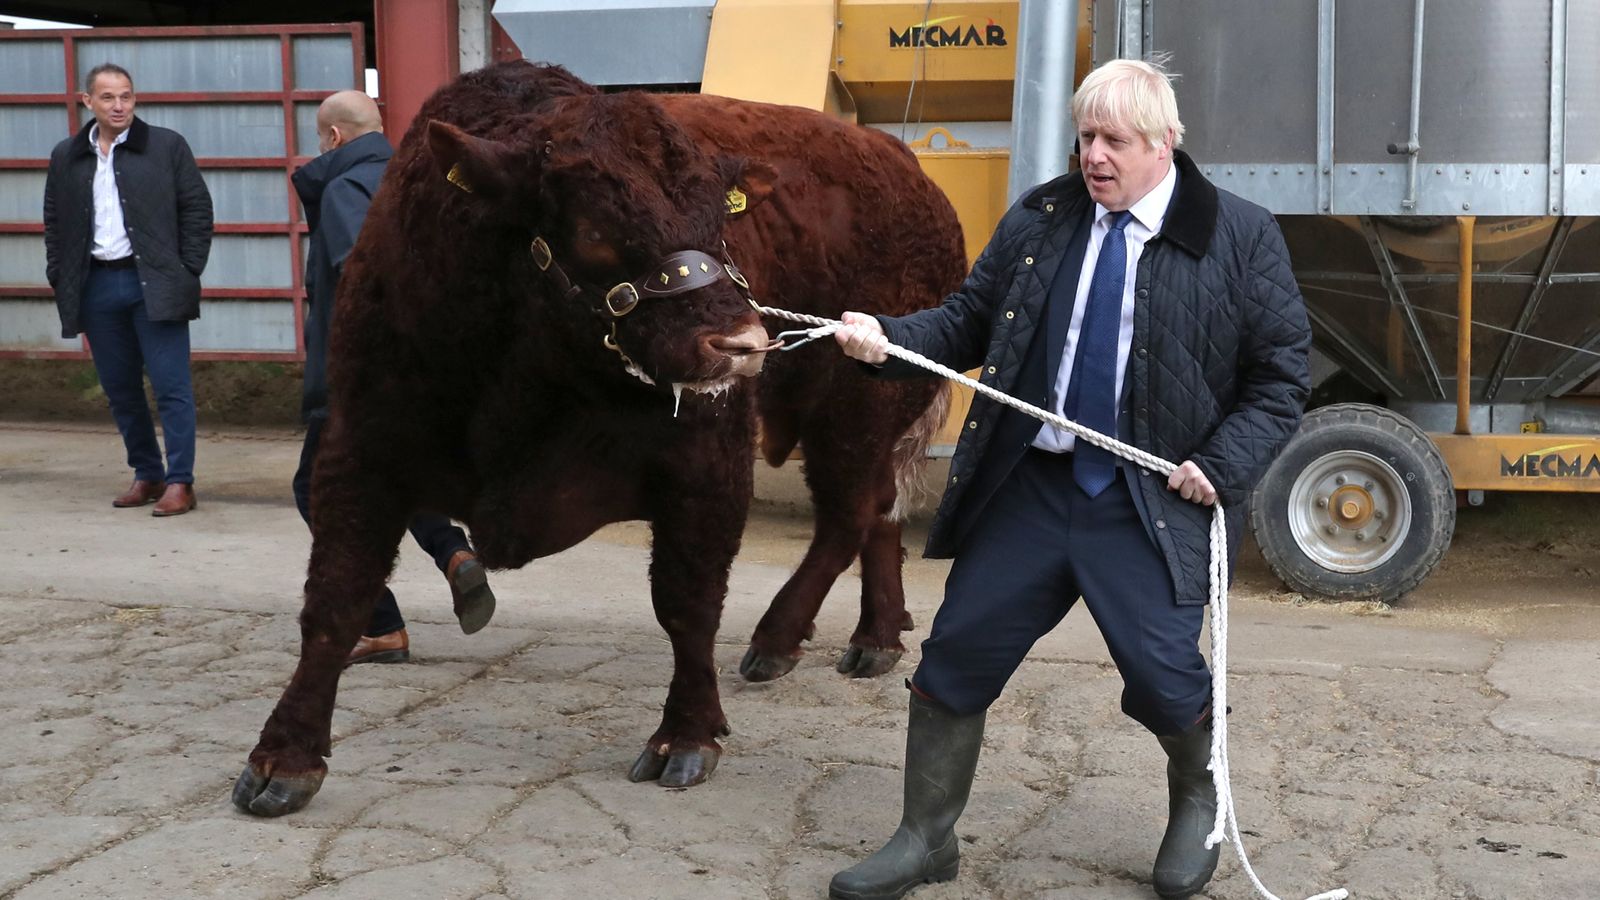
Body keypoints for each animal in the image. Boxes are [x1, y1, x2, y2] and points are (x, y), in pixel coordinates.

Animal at [231, 60, 967, 817]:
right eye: (593, 229)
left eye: (722, 222)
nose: (741, 344)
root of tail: (908, 169)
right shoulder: (361, 452)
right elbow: (334, 599)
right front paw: (282, 757)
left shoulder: (705, 466)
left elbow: (687, 604)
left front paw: (685, 737)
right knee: (877, 509)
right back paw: (875, 636)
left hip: (856, 406)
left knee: (850, 514)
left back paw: (778, 637)